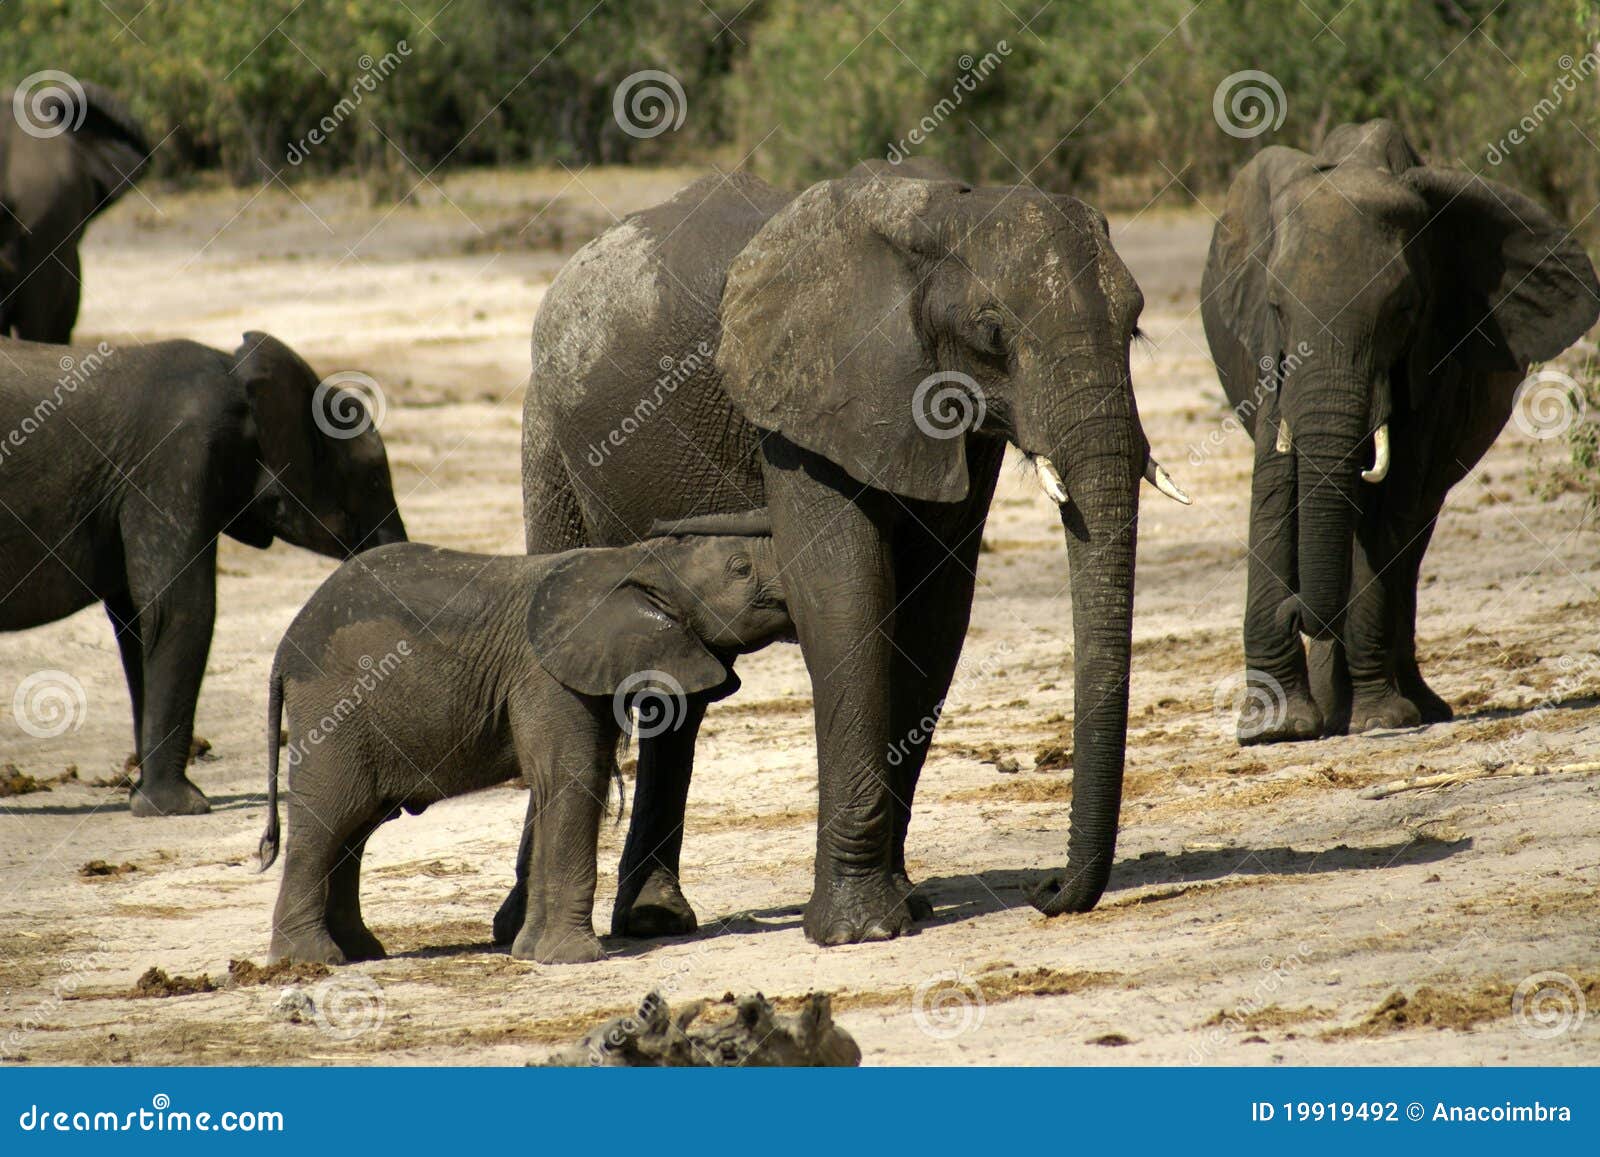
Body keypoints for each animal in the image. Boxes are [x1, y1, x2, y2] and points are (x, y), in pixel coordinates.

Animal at [0, 332, 407, 815]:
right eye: (374, 478)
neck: (239, 373)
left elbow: (138, 622)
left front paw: (148, 800)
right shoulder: (175, 462)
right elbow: (179, 609)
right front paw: (179, 807)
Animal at [256, 512, 792, 966]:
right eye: (740, 569)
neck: (638, 559)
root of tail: (283, 650)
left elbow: (556, 783)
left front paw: (531, 953)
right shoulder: (544, 673)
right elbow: (573, 778)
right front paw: (572, 959)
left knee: (356, 828)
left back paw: (362, 952)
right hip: (334, 710)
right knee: (329, 818)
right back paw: (309, 961)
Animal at [500, 168, 1190, 947]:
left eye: (1135, 326)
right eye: (991, 334)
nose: (1043, 889)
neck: (944, 212)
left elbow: (933, 615)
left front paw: (906, 903)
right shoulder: (802, 405)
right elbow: (846, 595)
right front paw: (861, 931)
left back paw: (653, 917)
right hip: (547, 434)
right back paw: (527, 925)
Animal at [1201, 120, 1600, 743]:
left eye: (1402, 310)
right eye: (1276, 307)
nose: (1296, 612)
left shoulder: (1434, 352)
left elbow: (1394, 503)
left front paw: (1377, 721)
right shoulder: (1270, 356)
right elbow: (1273, 485)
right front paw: (1274, 728)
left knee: (1412, 537)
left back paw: (1409, 707)